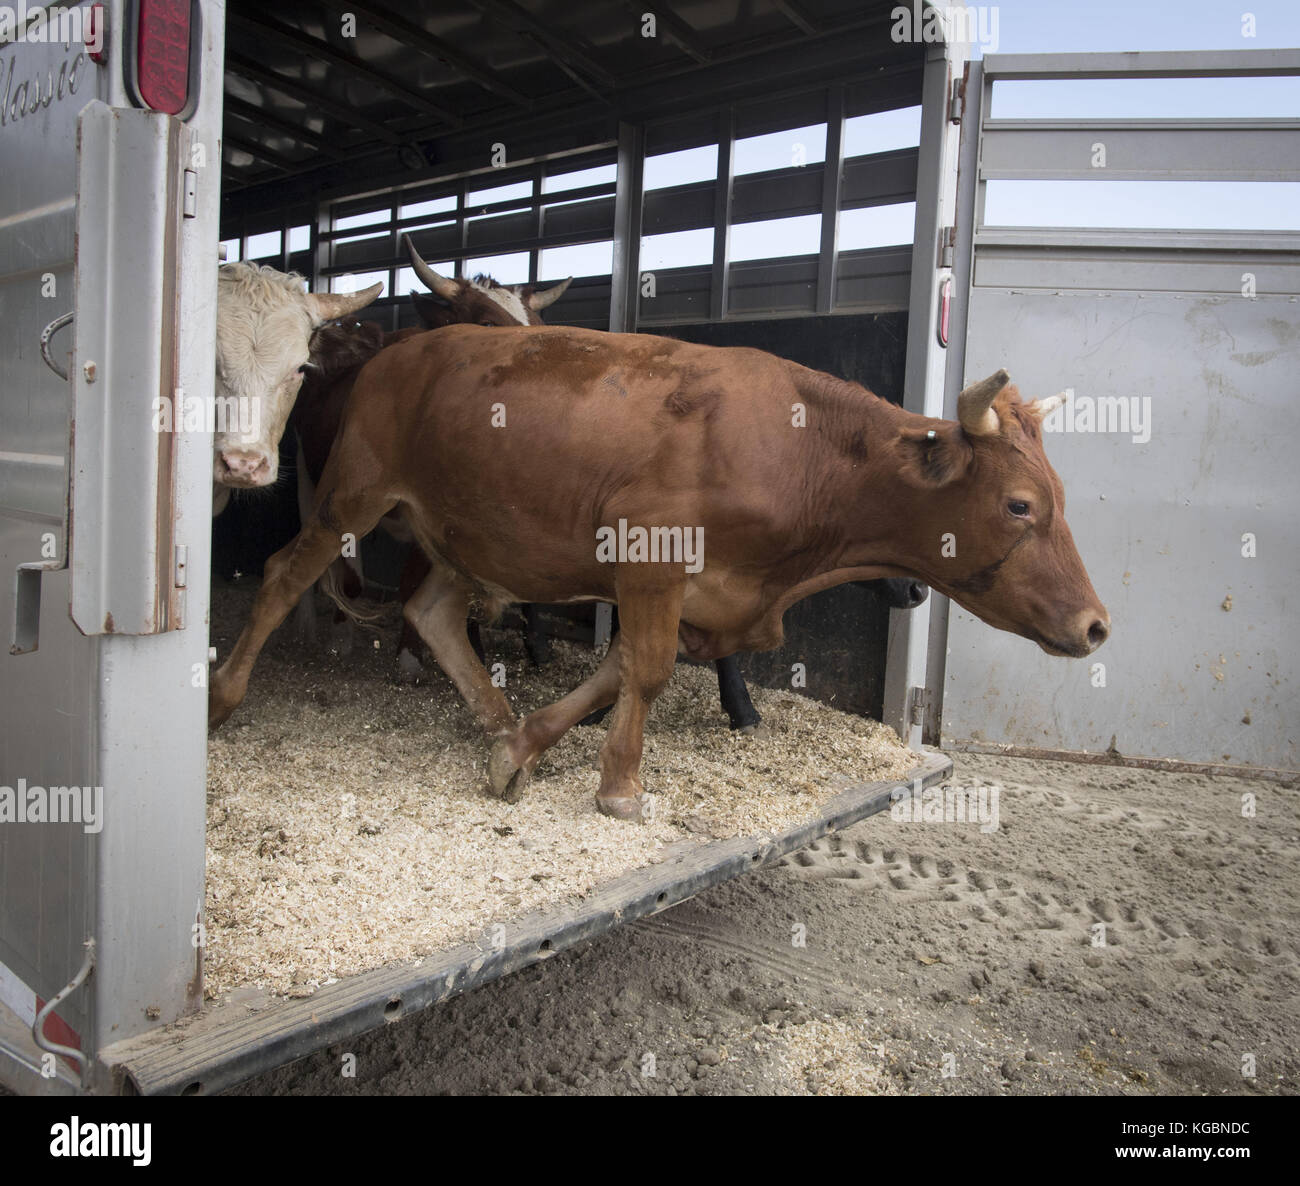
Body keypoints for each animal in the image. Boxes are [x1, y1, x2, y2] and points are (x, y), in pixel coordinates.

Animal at [208, 325, 1109, 822]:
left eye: (1063, 498)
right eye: (1022, 505)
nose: (1097, 626)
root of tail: (399, 351)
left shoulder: (694, 592)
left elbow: (621, 670)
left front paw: (522, 750)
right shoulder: (650, 548)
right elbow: (643, 670)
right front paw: (619, 789)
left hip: (467, 530)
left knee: (431, 611)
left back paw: (498, 719)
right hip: (355, 493)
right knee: (285, 574)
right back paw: (222, 696)